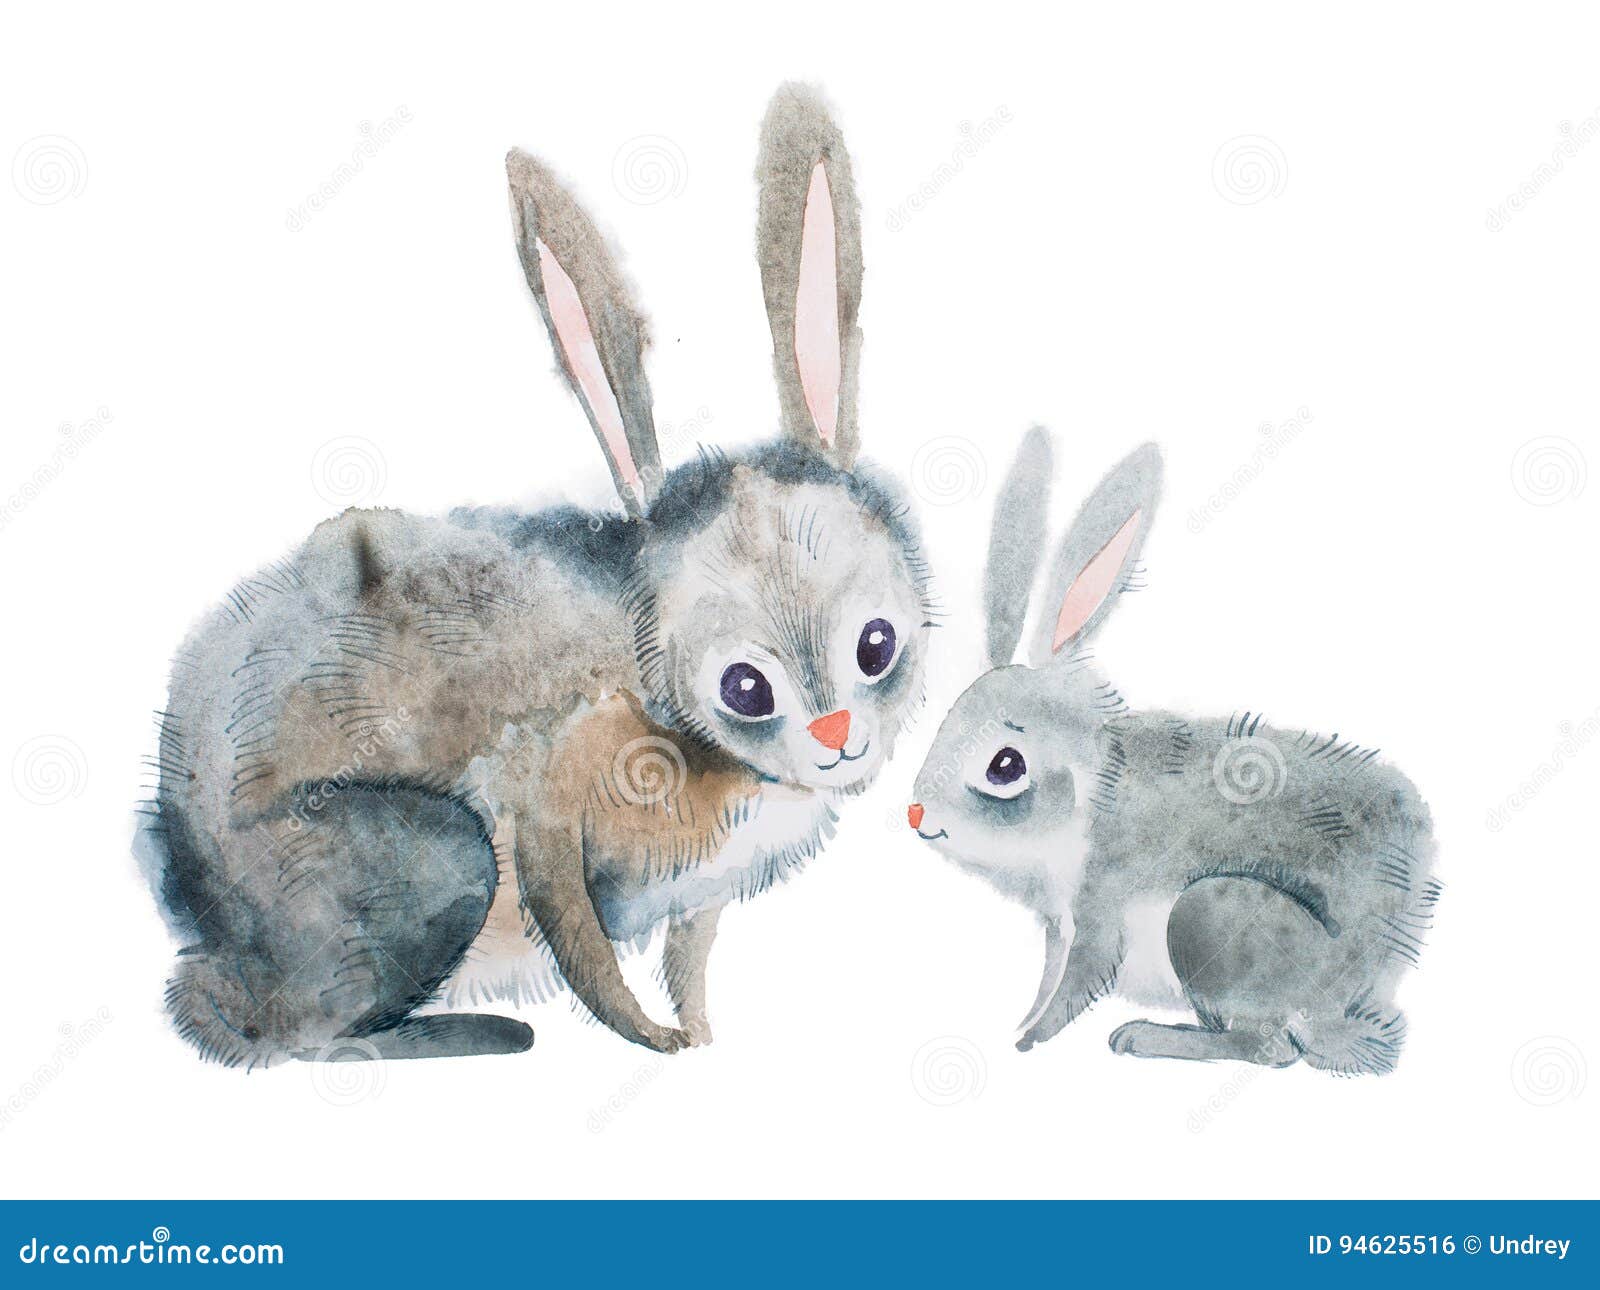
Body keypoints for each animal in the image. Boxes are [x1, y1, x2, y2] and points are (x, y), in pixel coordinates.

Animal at [137, 84, 934, 1067]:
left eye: (876, 647)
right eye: (746, 688)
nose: (835, 734)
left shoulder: (704, 891)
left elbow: (691, 953)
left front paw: (702, 1032)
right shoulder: (562, 776)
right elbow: (575, 924)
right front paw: (656, 1043)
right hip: (428, 865)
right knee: (273, 1028)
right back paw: (447, 1036)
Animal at [905, 428, 1438, 1073]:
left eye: (1005, 766)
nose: (916, 814)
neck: (1087, 793)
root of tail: (1340, 1009)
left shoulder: (1099, 908)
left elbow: (1076, 983)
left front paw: (1027, 1042)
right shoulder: (1059, 926)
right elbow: (1048, 978)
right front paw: (1023, 1022)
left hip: (1206, 918)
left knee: (1267, 1048)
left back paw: (1148, 1037)